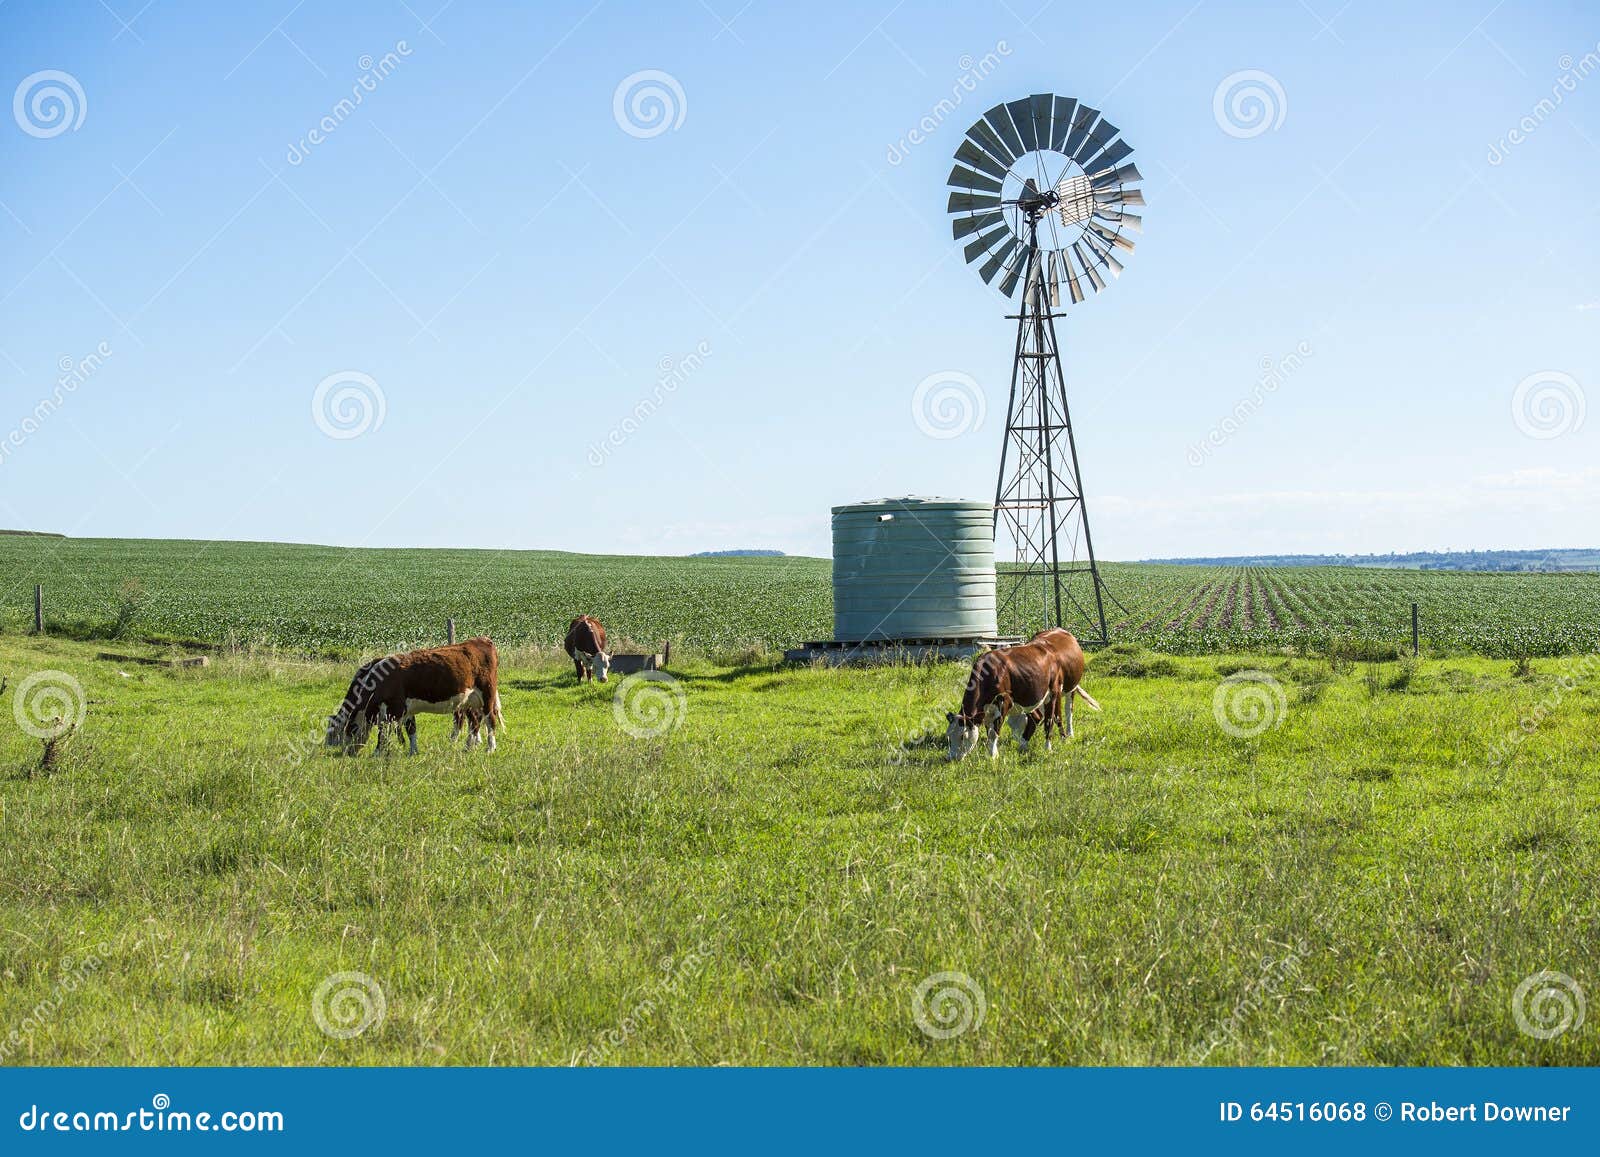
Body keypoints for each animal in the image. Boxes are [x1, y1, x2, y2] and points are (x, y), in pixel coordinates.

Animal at [325, 637, 505, 755]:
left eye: (350, 729)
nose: (347, 752)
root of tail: (482, 640)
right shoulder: (406, 709)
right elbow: (411, 729)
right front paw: (413, 751)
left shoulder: (394, 708)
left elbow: (383, 732)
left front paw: (377, 752)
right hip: (468, 700)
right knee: (474, 722)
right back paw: (468, 746)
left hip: (487, 694)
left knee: (489, 719)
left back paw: (490, 748)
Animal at [946, 628, 1101, 761]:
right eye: (949, 736)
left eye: (963, 736)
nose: (952, 758)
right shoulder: (988, 710)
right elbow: (989, 729)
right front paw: (994, 751)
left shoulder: (1004, 701)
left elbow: (994, 731)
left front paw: (993, 756)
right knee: (1039, 717)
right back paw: (1023, 745)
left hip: (1058, 692)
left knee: (1058, 717)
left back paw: (1054, 743)